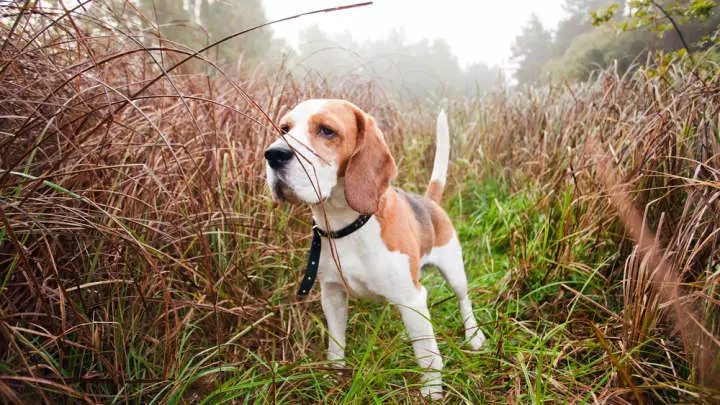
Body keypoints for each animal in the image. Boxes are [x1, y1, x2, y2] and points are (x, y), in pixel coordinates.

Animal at [262, 98, 484, 398]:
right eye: (284, 129)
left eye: (327, 131)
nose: (273, 154)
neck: (346, 226)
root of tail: (430, 202)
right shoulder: (332, 295)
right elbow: (336, 344)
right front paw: (333, 377)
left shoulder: (412, 297)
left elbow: (428, 356)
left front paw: (431, 391)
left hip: (454, 273)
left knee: (463, 302)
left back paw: (473, 336)